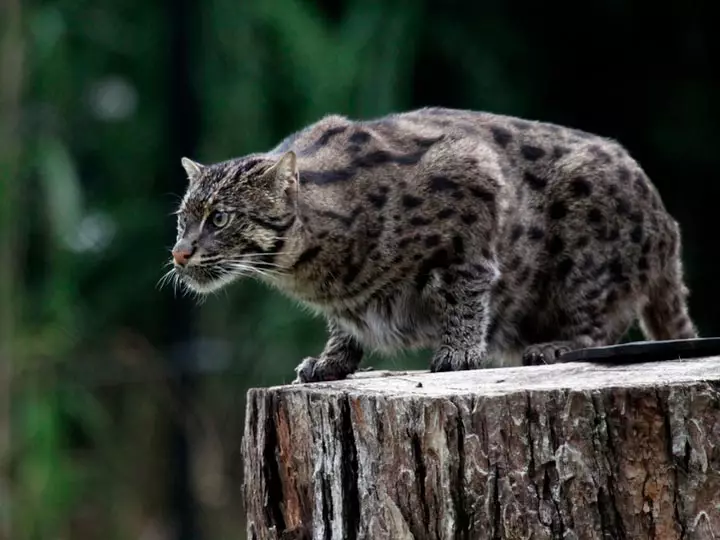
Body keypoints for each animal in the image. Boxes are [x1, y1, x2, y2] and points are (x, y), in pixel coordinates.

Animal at [169, 106, 696, 384]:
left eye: (220, 217)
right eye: (181, 221)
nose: (178, 253)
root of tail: (669, 227)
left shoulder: (476, 184)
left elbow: (468, 289)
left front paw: (460, 350)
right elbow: (344, 328)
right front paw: (333, 359)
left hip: (587, 262)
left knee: (599, 331)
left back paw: (556, 346)